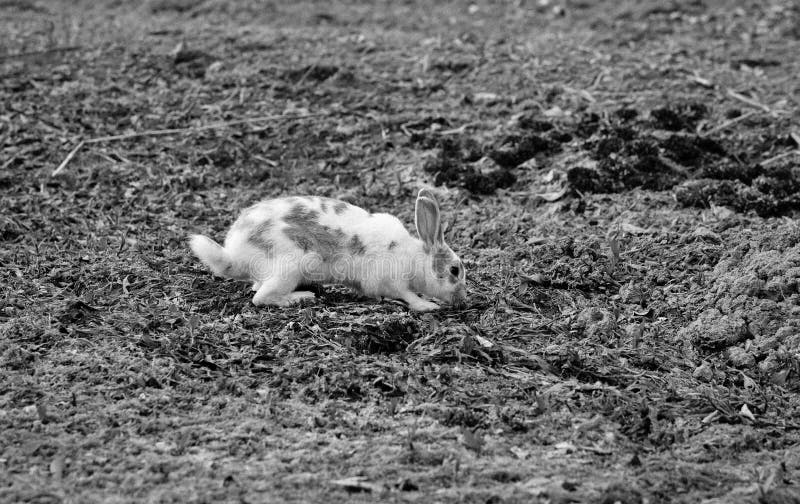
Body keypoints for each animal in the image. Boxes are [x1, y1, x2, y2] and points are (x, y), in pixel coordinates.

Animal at [189, 189, 467, 311]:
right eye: (454, 270)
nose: (462, 299)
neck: (413, 256)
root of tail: (234, 255)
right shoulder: (392, 280)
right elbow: (407, 296)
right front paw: (428, 305)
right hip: (288, 267)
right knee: (261, 298)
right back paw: (301, 297)